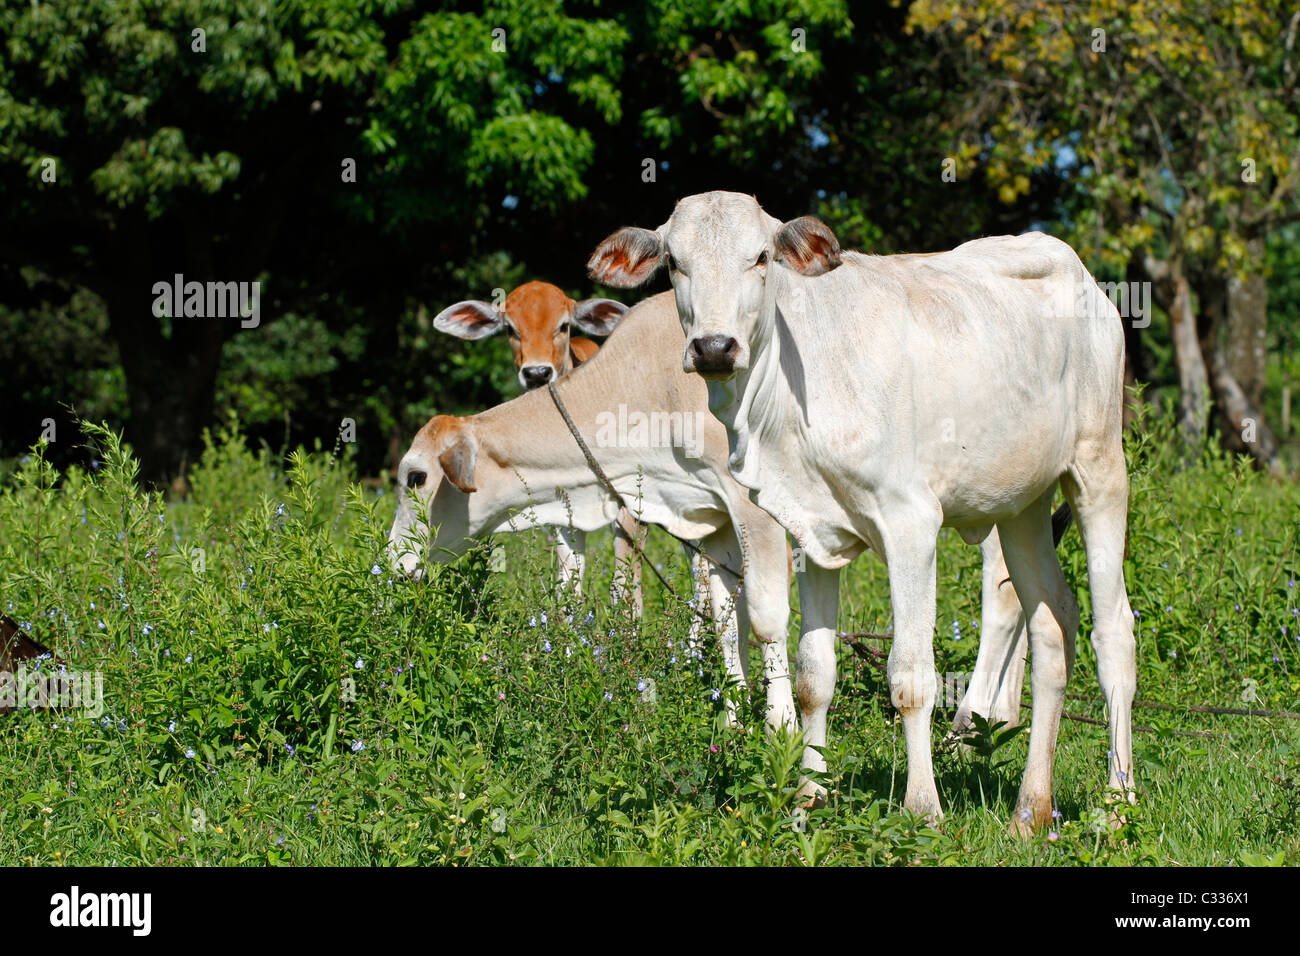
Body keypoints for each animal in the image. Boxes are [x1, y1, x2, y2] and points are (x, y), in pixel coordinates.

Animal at [432, 281, 649, 613]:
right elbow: (568, 587)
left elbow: (625, 588)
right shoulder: (564, 516)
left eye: (564, 325)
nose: (537, 374)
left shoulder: (633, 510)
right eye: (510, 328)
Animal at [588, 192, 1137, 831]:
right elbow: (812, 676)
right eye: (674, 262)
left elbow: (911, 677)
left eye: (761, 257)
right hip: (1023, 503)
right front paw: (806, 797)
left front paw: (923, 809)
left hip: (1099, 467)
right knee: (1052, 622)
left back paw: (1117, 803)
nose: (714, 348)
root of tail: (1076, 269)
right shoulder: (810, 529)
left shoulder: (911, 522)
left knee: (1113, 631)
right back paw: (1031, 808)